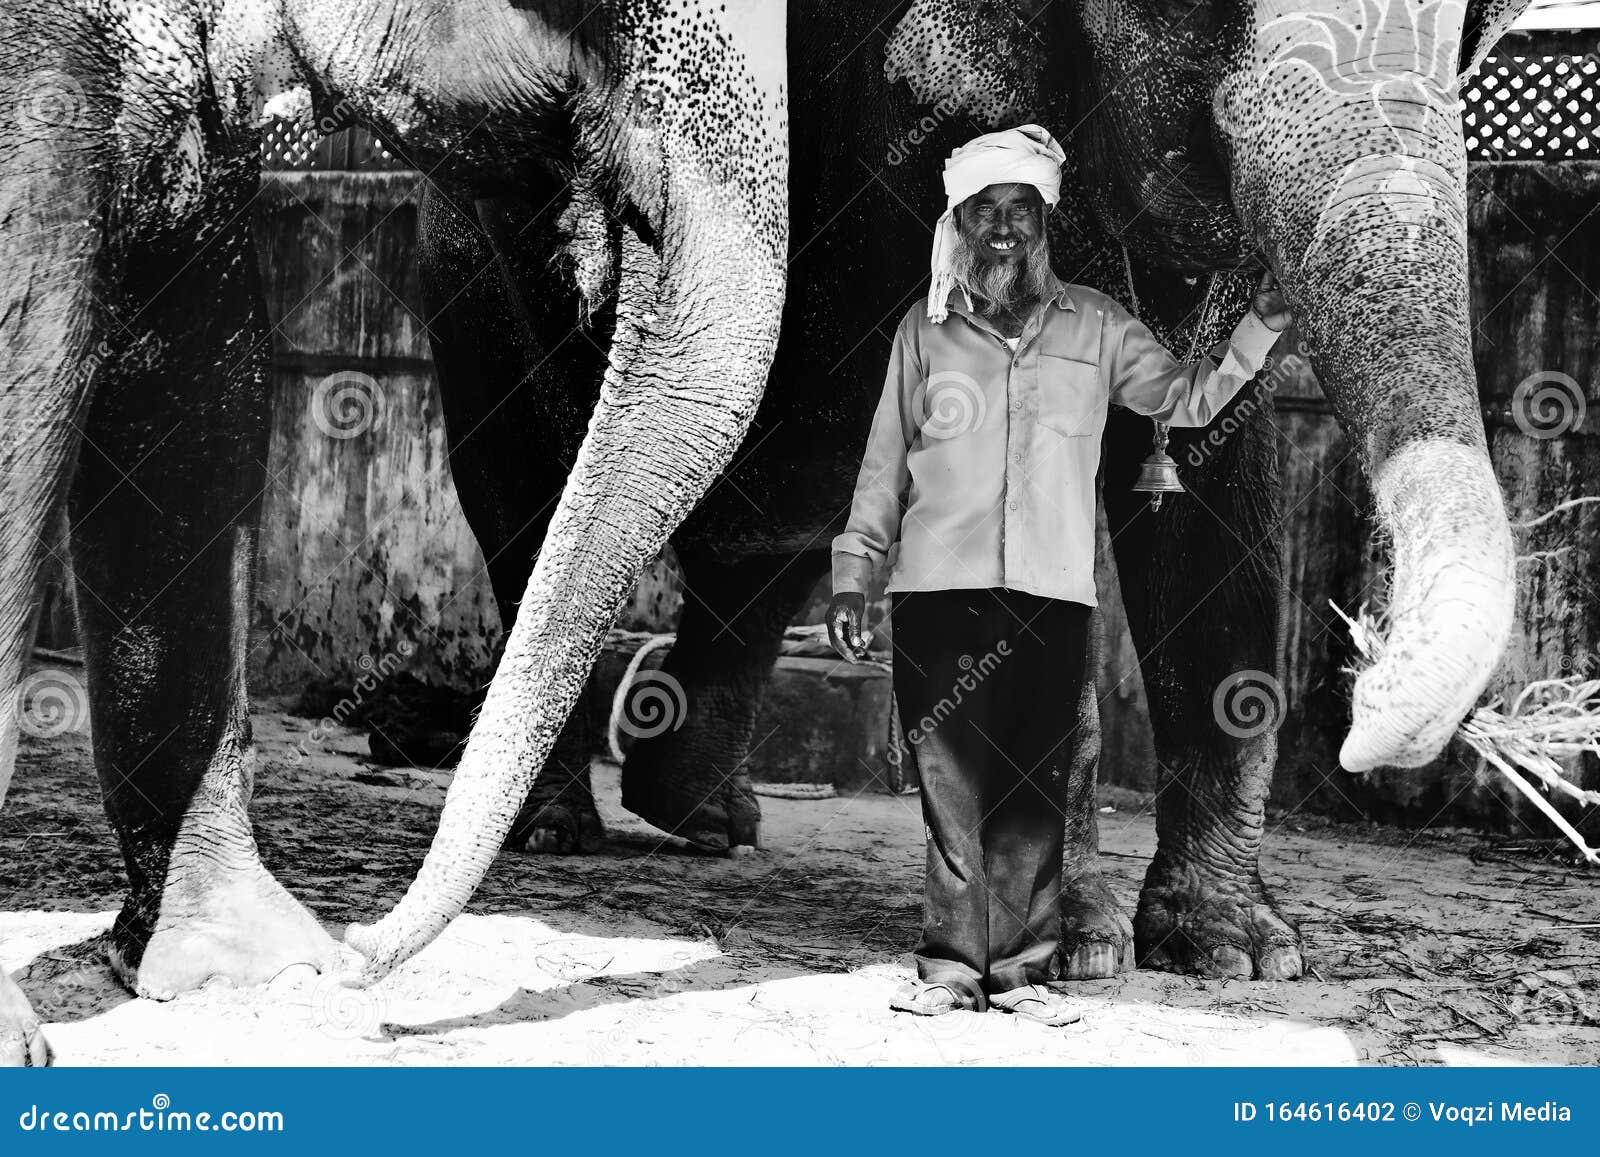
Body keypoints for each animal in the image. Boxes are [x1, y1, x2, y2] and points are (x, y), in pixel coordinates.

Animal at [418, 0, 1533, 985]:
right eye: (1188, 7)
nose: (1368, 693)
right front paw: (1078, 949)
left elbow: (1209, 490)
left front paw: (1237, 951)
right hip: (474, 288)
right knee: (532, 509)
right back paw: (557, 829)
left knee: (770, 546)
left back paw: (704, 818)